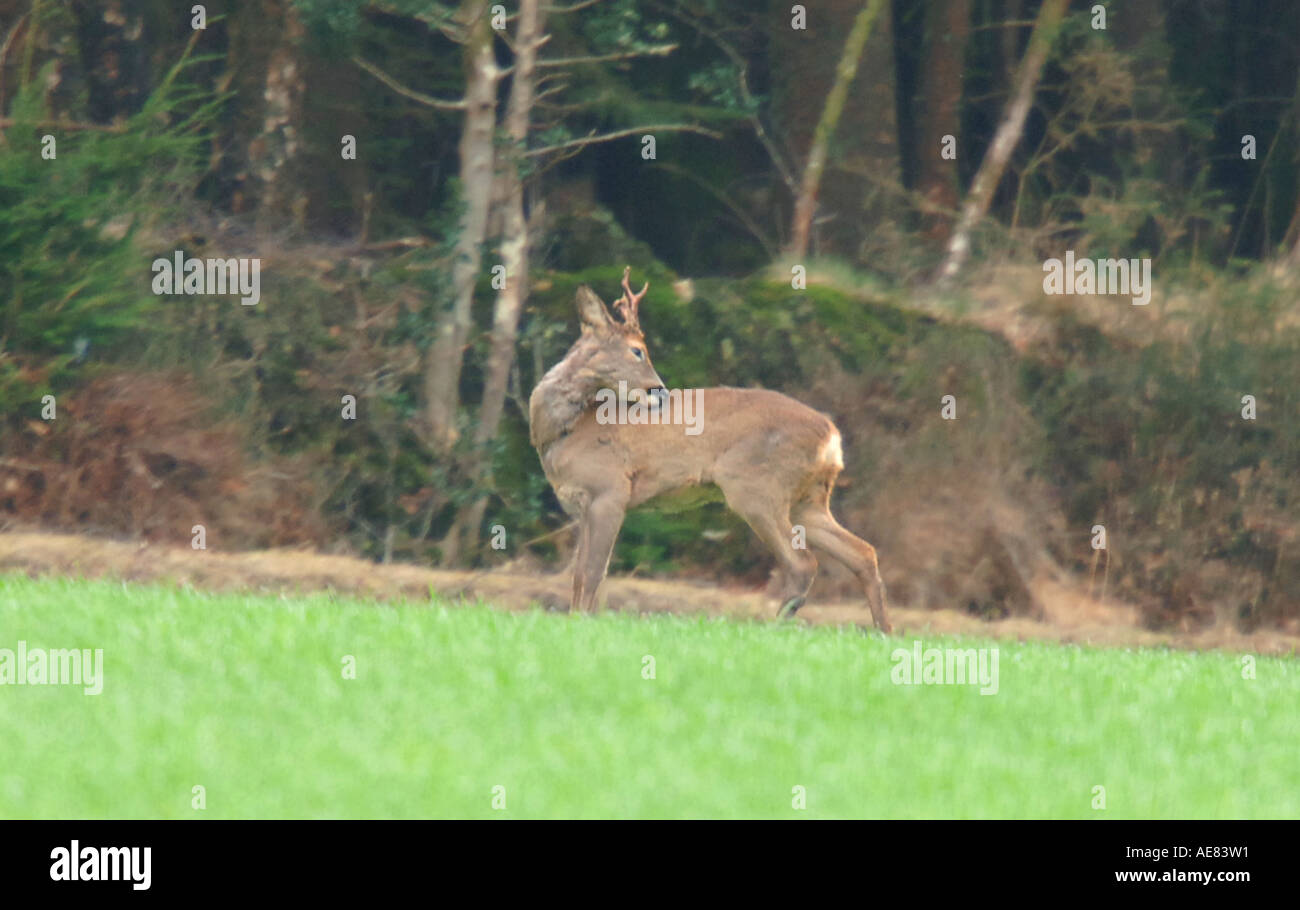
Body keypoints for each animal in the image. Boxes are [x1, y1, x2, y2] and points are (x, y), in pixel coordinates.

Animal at [528, 268, 891, 632]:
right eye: (637, 351)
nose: (661, 390)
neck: (568, 430)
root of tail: (832, 437)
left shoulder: (611, 489)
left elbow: (592, 572)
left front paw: (581, 623)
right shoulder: (581, 505)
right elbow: (578, 574)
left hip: (755, 486)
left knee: (802, 562)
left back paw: (773, 627)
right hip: (808, 499)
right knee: (864, 553)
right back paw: (883, 632)